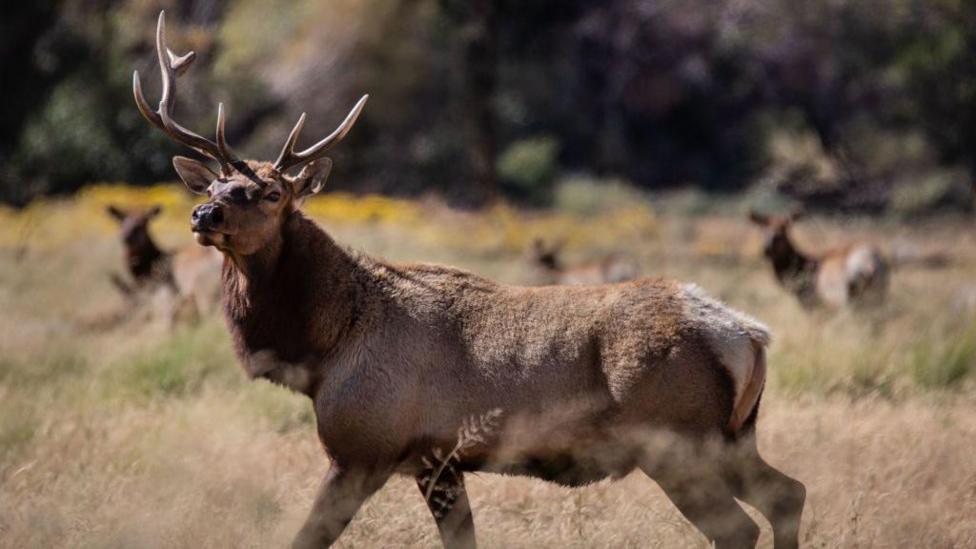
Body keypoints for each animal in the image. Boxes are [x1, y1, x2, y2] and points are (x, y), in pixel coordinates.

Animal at [134, 12, 804, 549]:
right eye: (216, 184)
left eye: (272, 193)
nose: (204, 214)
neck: (323, 350)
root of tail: (748, 337)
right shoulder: (439, 459)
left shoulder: (368, 446)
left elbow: (308, 538)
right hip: (734, 436)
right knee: (789, 494)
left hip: (674, 441)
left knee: (739, 527)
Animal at [749, 209, 889, 310]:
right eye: (763, 229)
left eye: (783, 230)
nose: (766, 249)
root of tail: (869, 263)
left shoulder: (811, 303)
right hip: (879, 293)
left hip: (844, 298)